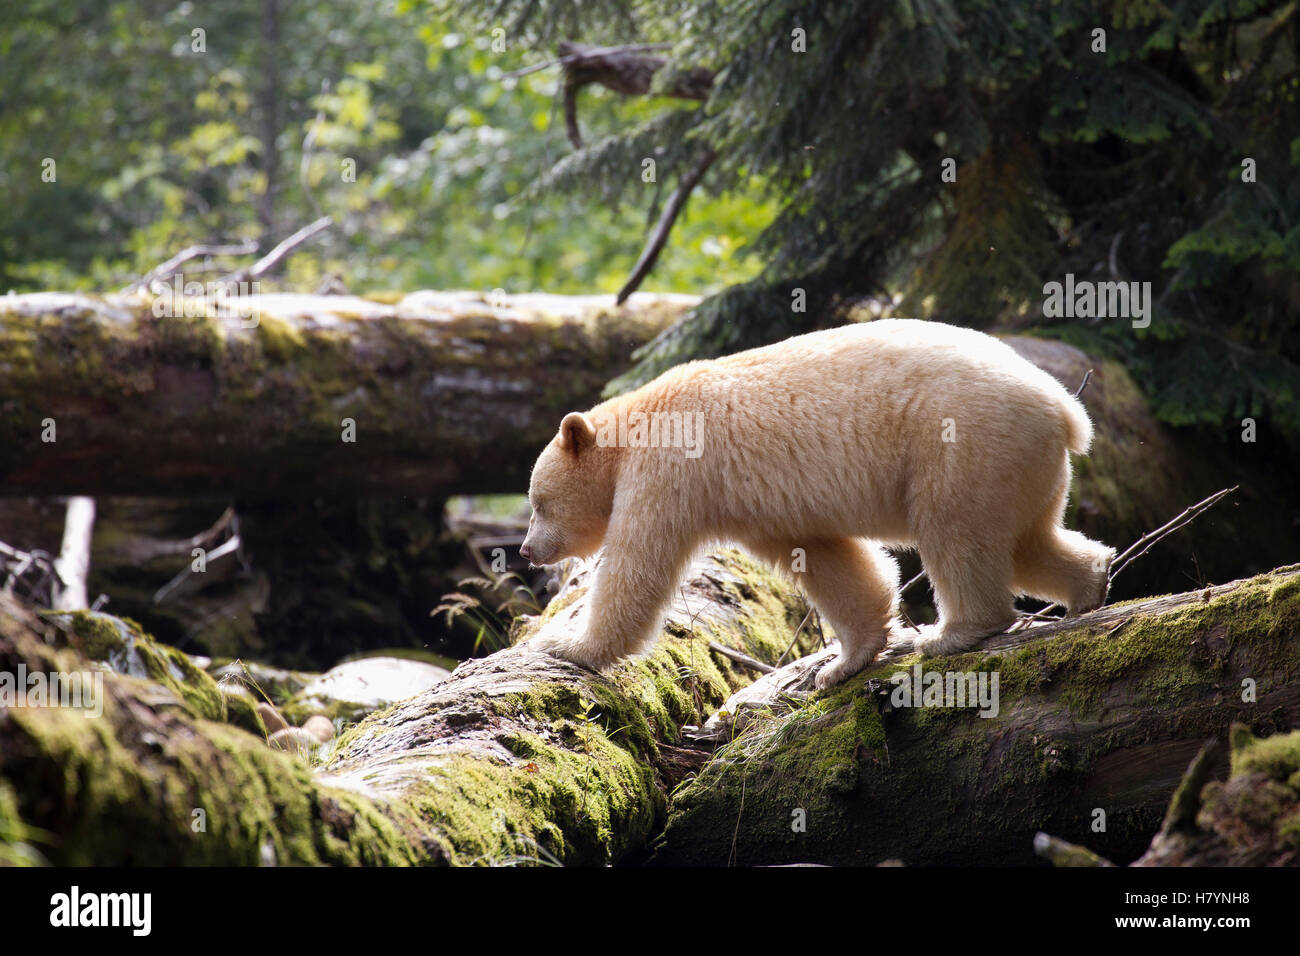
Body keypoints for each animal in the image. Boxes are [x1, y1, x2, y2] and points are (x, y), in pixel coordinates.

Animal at [520, 318, 1114, 689]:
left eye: (538, 503)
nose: (526, 550)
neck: (637, 422)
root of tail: (1065, 408)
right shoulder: (758, 502)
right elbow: (826, 558)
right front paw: (843, 662)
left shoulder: (670, 471)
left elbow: (637, 568)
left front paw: (565, 646)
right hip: (1016, 463)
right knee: (1026, 539)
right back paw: (1090, 585)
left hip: (960, 443)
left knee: (957, 533)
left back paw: (953, 633)